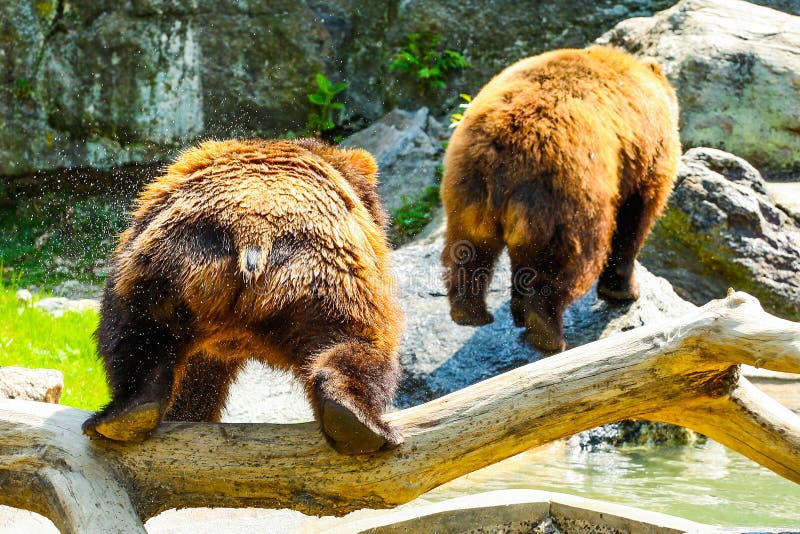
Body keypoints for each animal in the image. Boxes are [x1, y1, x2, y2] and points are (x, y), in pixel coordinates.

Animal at [441, 46, 680, 352]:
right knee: (565, 260)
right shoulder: (645, 157)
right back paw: (548, 333)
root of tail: (501, 154)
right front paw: (624, 289)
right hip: (564, 196)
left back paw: (470, 312)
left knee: (468, 249)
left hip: (467, 189)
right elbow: (634, 220)